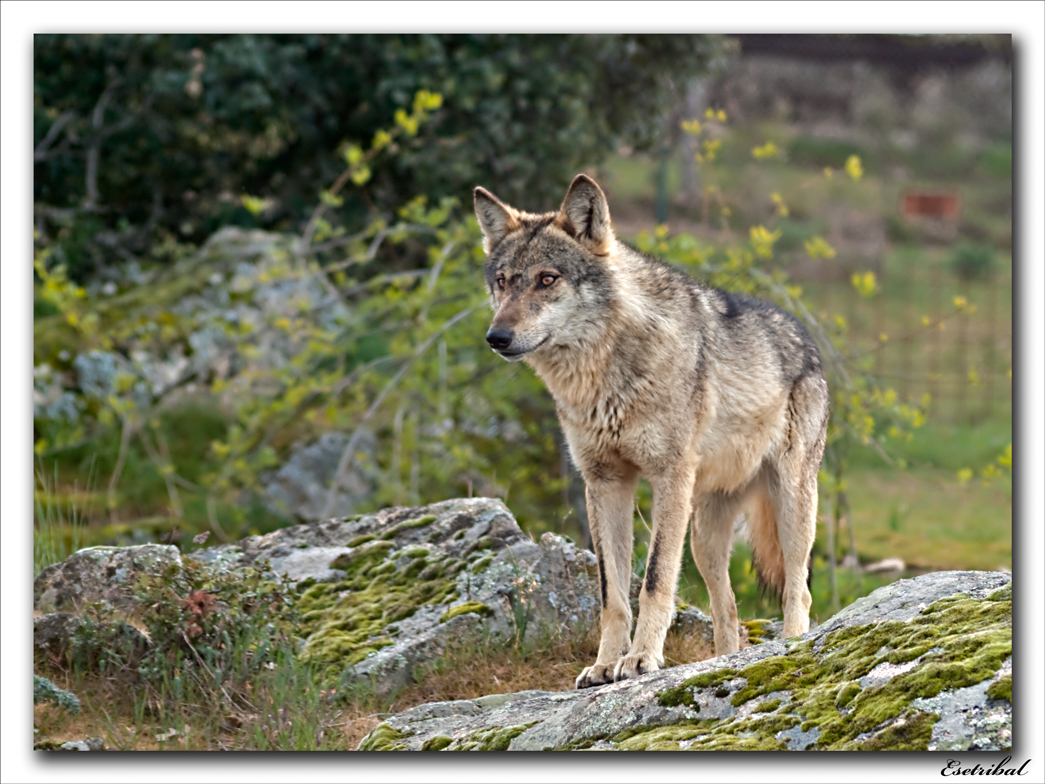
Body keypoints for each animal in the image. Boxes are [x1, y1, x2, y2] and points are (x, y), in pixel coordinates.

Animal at [474, 174, 829, 688]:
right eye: (502, 282)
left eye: (547, 279)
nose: (496, 337)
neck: (604, 374)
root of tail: (807, 339)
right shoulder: (604, 482)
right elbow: (612, 592)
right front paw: (605, 665)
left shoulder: (667, 477)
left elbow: (655, 580)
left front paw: (641, 659)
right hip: (702, 536)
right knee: (729, 610)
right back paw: (722, 665)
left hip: (789, 504)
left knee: (798, 590)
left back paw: (792, 647)